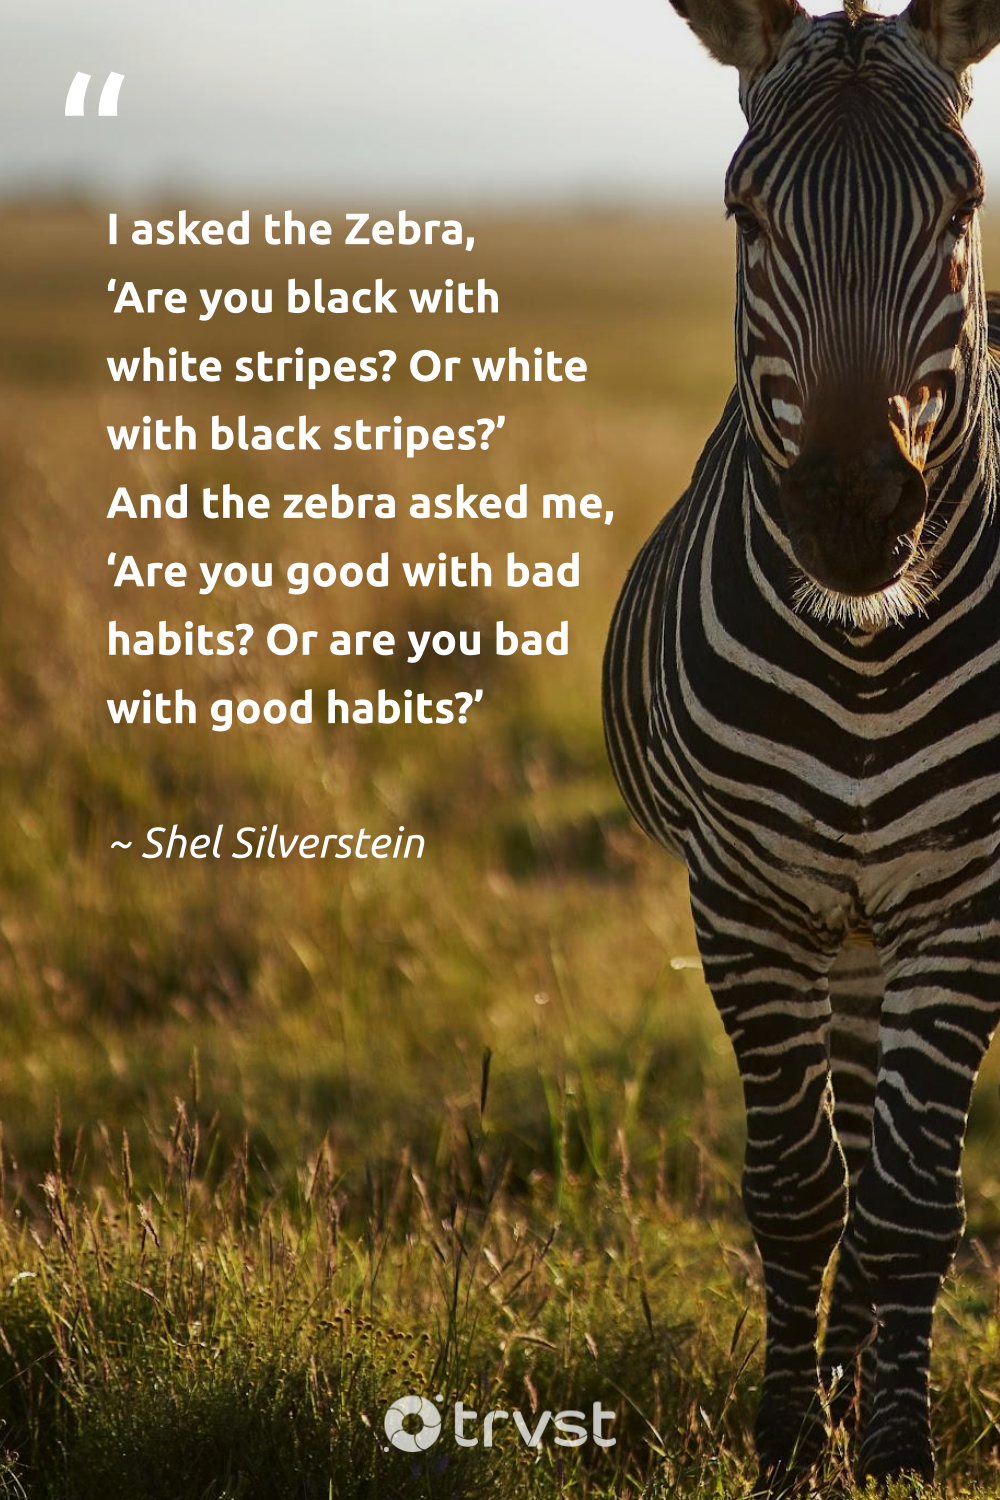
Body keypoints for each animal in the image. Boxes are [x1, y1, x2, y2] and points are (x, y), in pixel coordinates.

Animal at [603, 0, 1000, 1488]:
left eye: (963, 205)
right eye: (744, 213)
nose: (850, 513)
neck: (866, 653)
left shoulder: (964, 902)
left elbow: (908, 1203)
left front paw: (893, 1444)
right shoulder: (744, 897)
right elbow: (794, 1188)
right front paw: (785, 1435)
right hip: (838, 923)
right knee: (836, 1125)